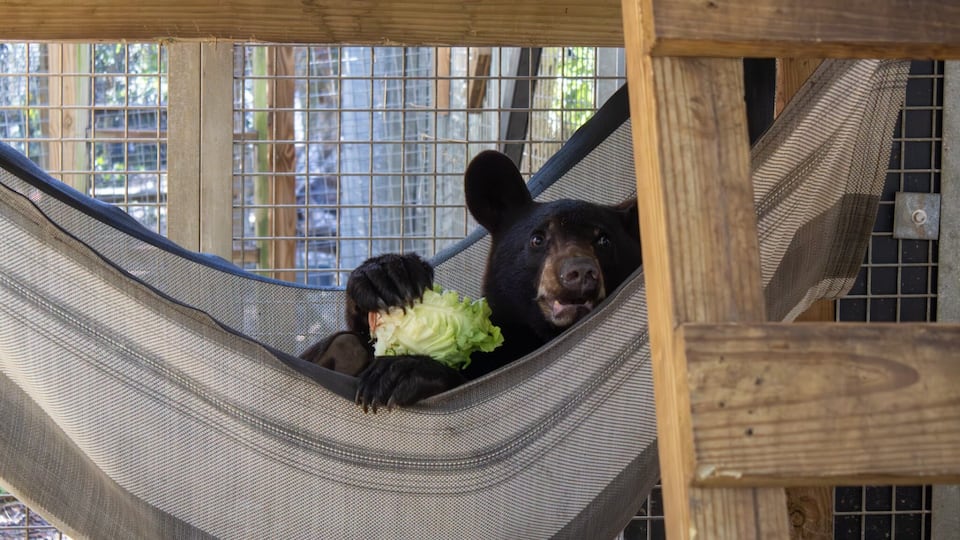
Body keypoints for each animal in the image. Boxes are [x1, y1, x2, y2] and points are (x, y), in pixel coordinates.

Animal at [301, 150, 642, 412]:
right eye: (537, 239)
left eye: (604, 240)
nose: (580, 272)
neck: (537, 337)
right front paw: (385, 275)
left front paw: (402, 372)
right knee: (347, 343)